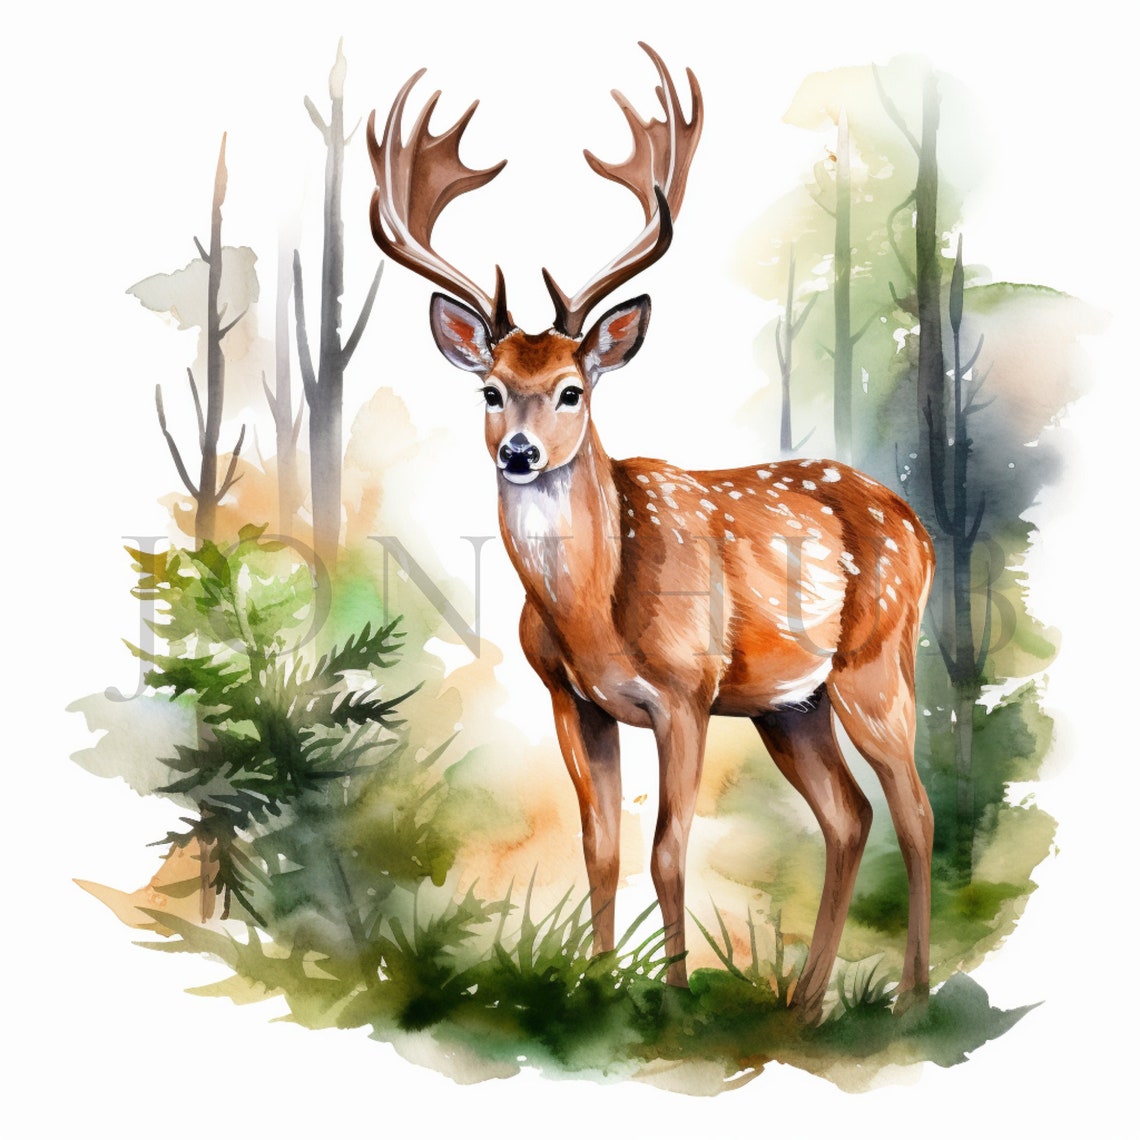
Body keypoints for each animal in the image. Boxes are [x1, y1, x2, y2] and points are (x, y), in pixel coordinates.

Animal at [367, 43, 936, 1019]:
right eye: (490, 390)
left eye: (572, 389)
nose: (519, 452)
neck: (594, 615)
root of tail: (918, 526)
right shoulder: (573, 699)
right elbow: (600, 848)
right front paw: (597, 986)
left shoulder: (685, 690)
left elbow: (670, 849)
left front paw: (671, 996)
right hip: (793, 704)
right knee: (849, 817)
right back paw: (804, 1000)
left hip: (873, 661)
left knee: (915, 810)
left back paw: (910, 997)